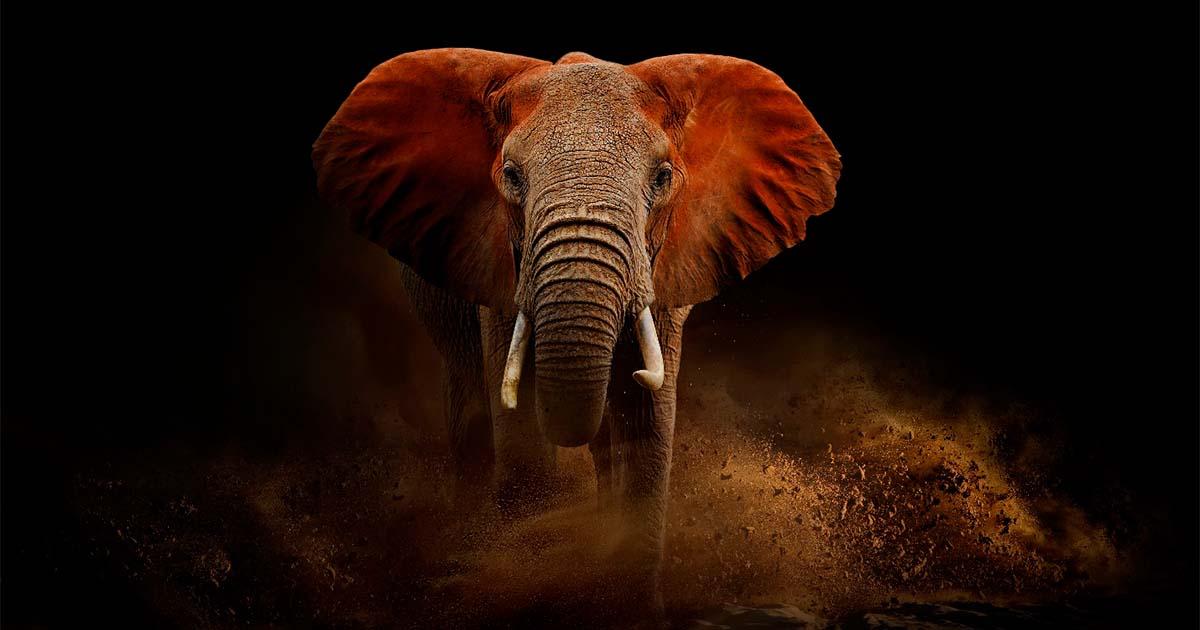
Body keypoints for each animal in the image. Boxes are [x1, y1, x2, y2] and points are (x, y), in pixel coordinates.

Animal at [312, 48, 841, 614]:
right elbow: (520, 428)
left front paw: (627, 606)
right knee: (471, 418)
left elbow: (645, 427)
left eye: (662, 177)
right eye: (511, 175)